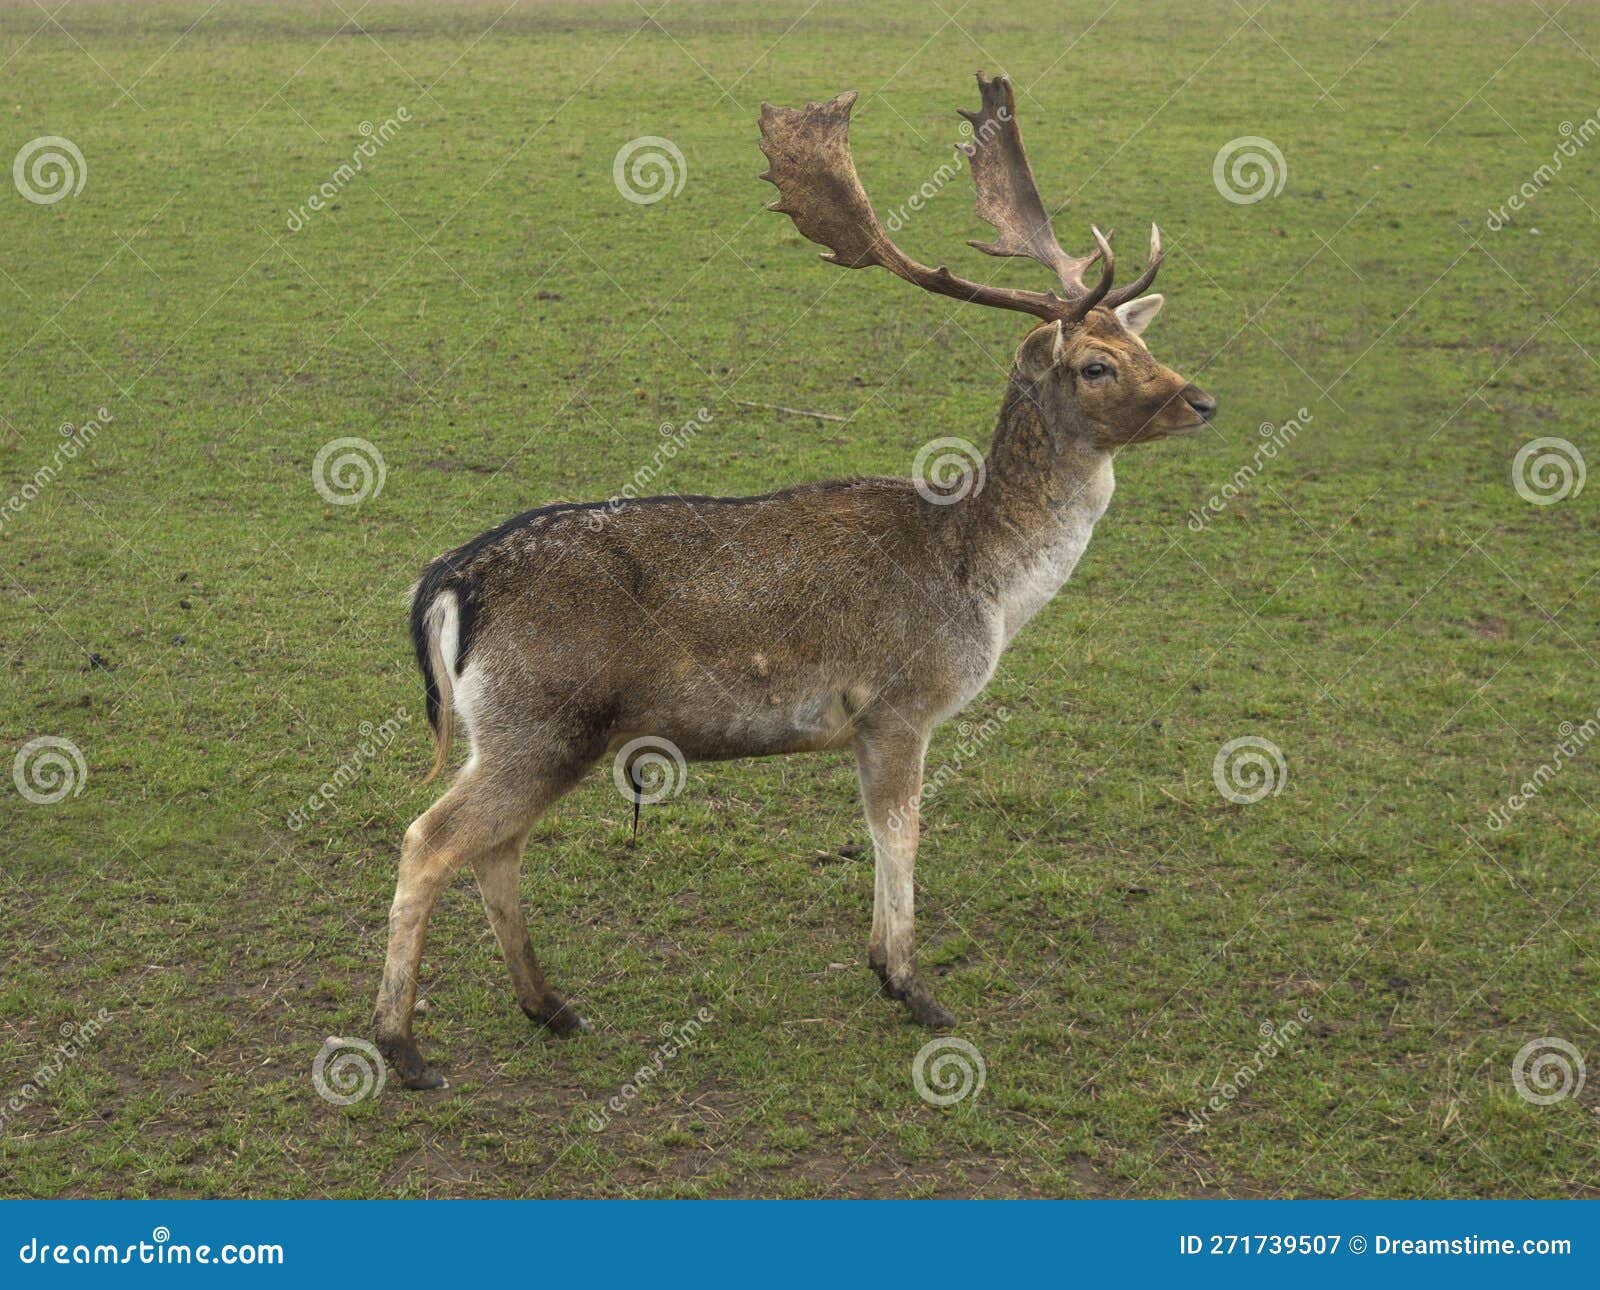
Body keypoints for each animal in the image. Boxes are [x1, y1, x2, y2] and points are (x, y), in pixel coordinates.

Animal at [373, 73, 1216, 1089]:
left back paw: (551, 1007)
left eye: (1140, 345)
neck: (982, 582)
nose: (1201, 399)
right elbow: (902, 834)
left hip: (523, 733)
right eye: (1096, 365)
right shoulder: (901, 701)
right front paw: (915, 989)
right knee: (430, 840)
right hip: (539, 720)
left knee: (495, 850)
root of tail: (449, 582)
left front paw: (884, 969)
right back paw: (403, 1047)